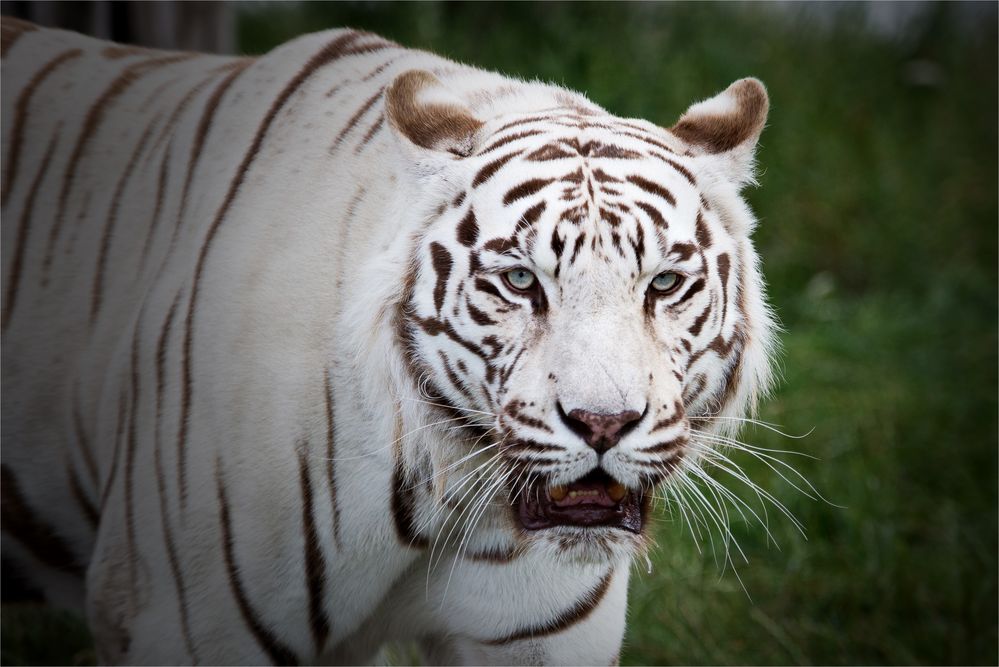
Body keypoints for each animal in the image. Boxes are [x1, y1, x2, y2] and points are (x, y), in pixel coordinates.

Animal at [0, 16, 776, 666]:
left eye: (664, 282)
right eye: (521, 280)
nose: (603, 423)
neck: (443, 499)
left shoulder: (539, 639)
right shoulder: (179, 619)